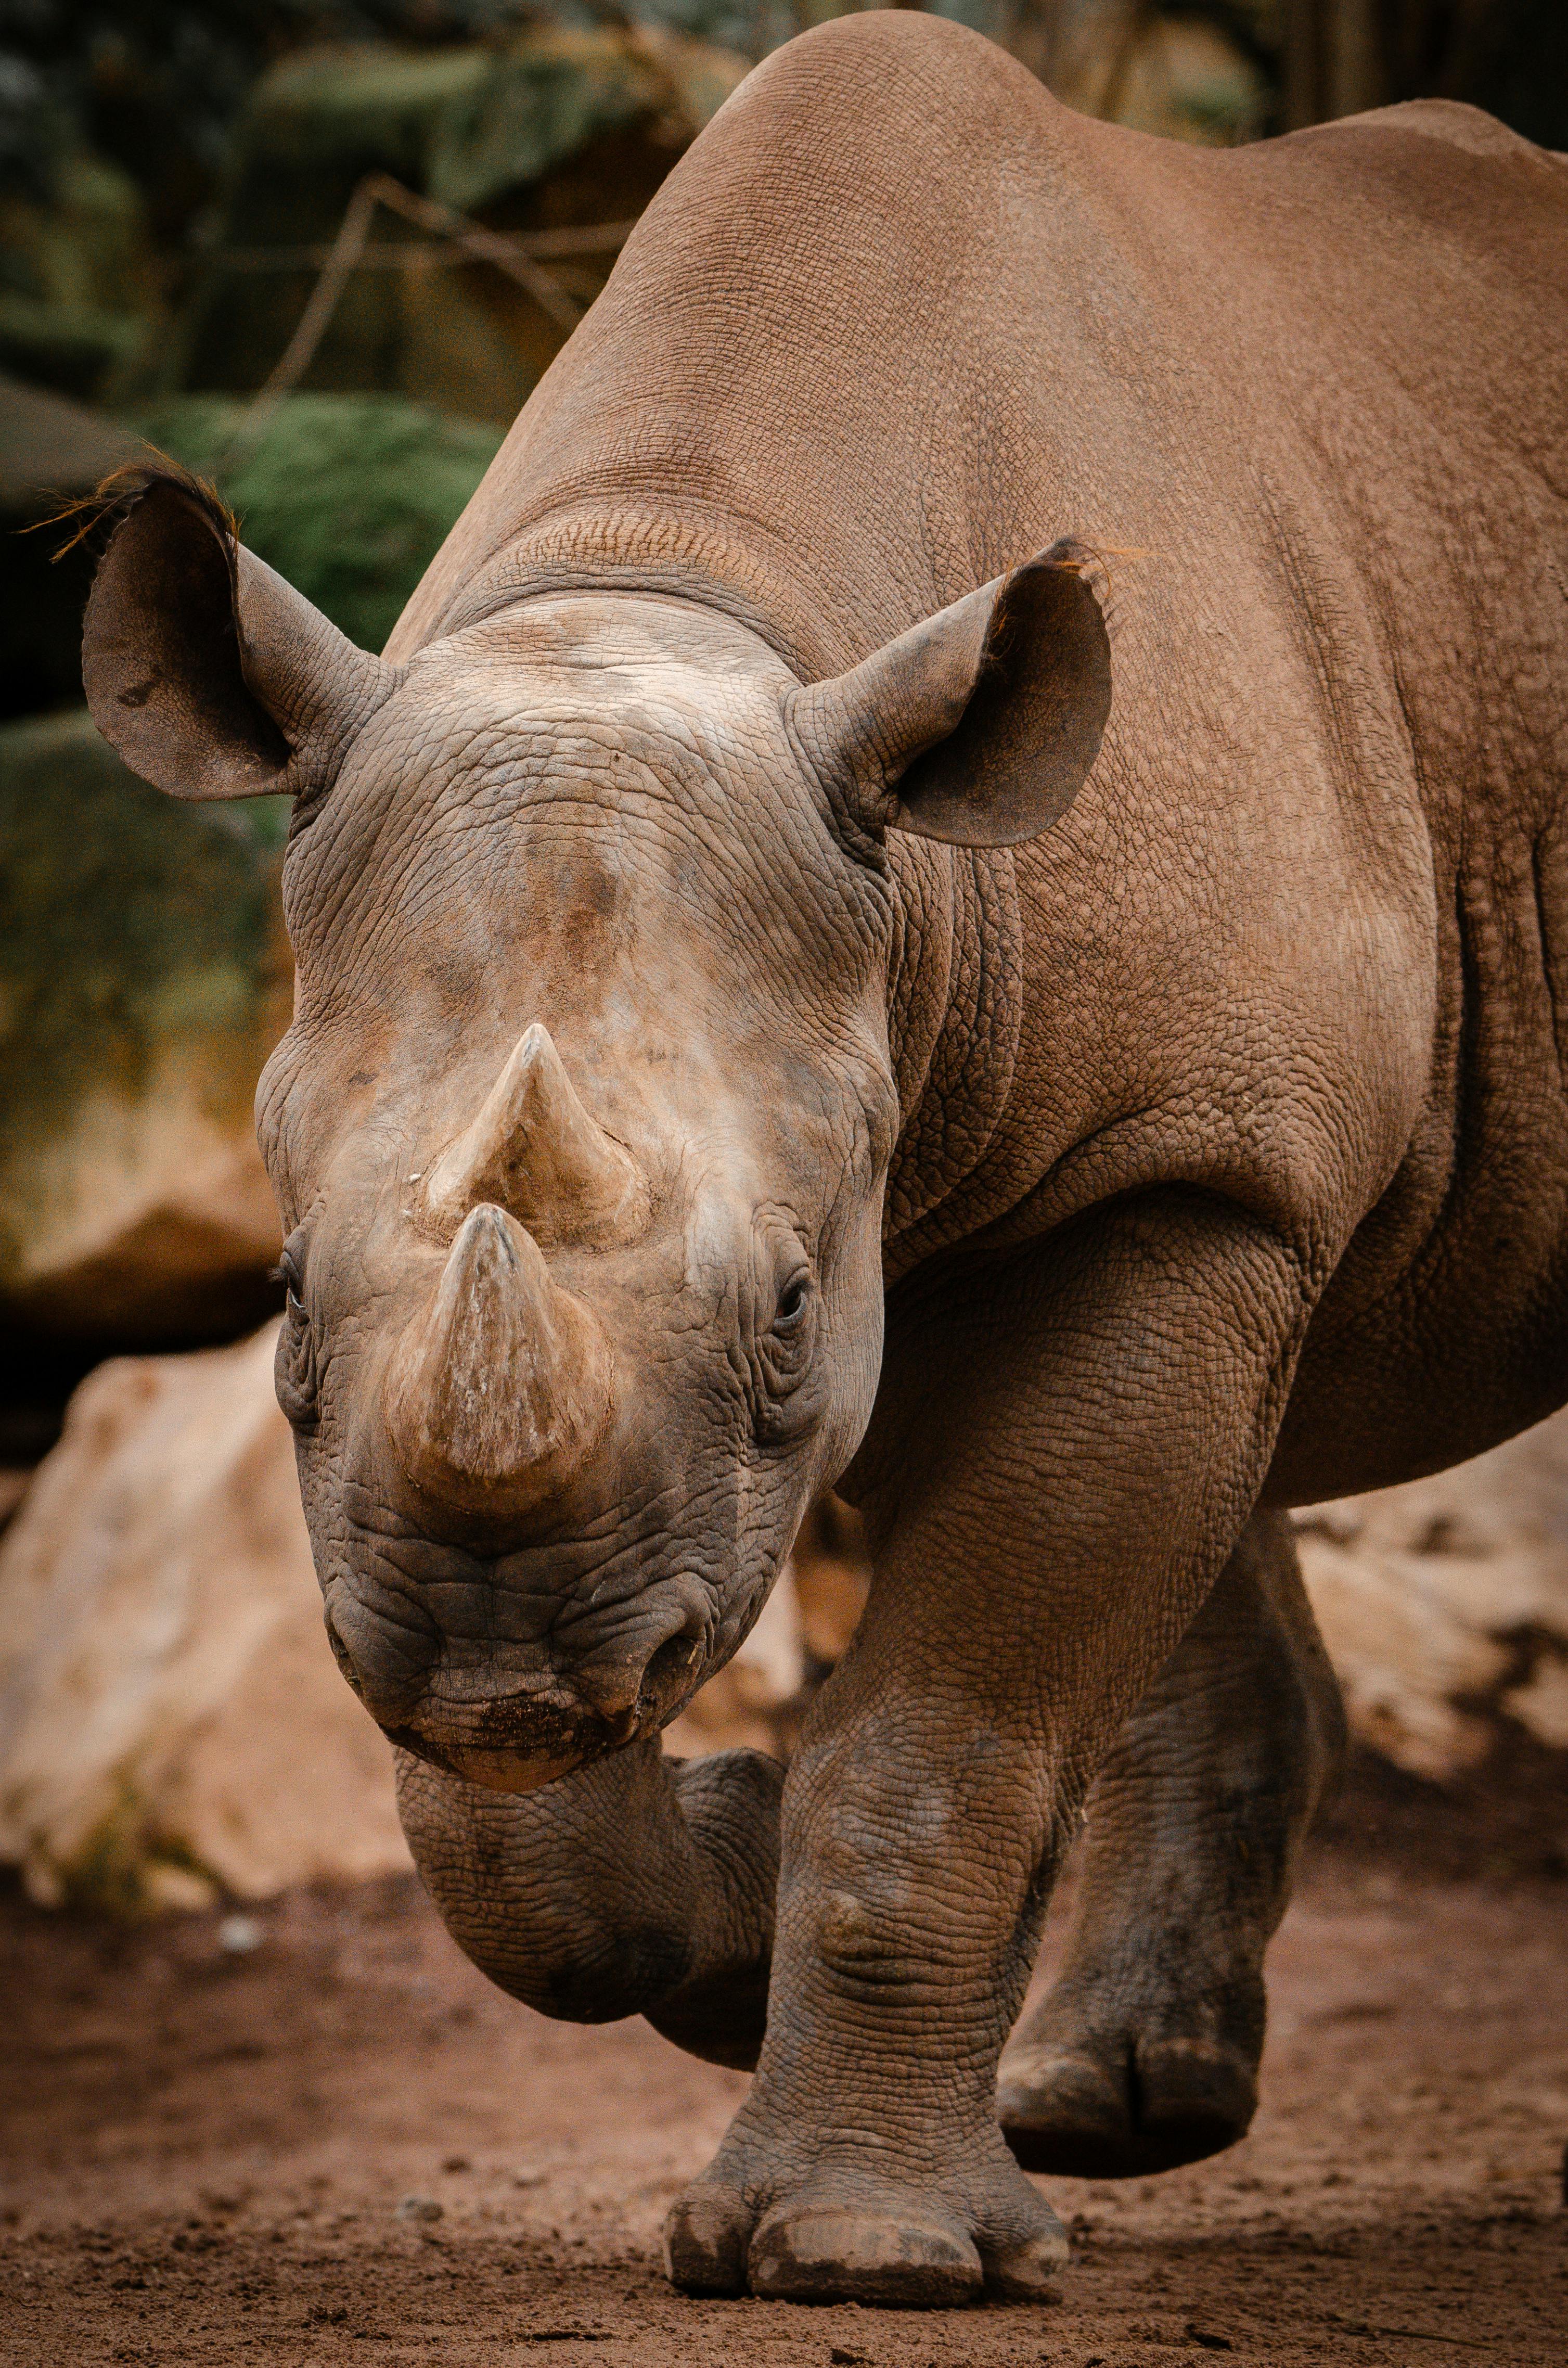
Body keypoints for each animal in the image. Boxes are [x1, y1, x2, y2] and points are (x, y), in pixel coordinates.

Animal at [82, 12, 1566, 2312]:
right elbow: (500, 1815)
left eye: (786, 1309)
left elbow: (945, 1725)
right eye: (283, 1301)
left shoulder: (1175, 1166)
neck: (692, 581)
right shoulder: (1040, 1178)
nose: (496, 1659)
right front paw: (720, 1874)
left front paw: (864, 2252)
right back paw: (1113, 2110)